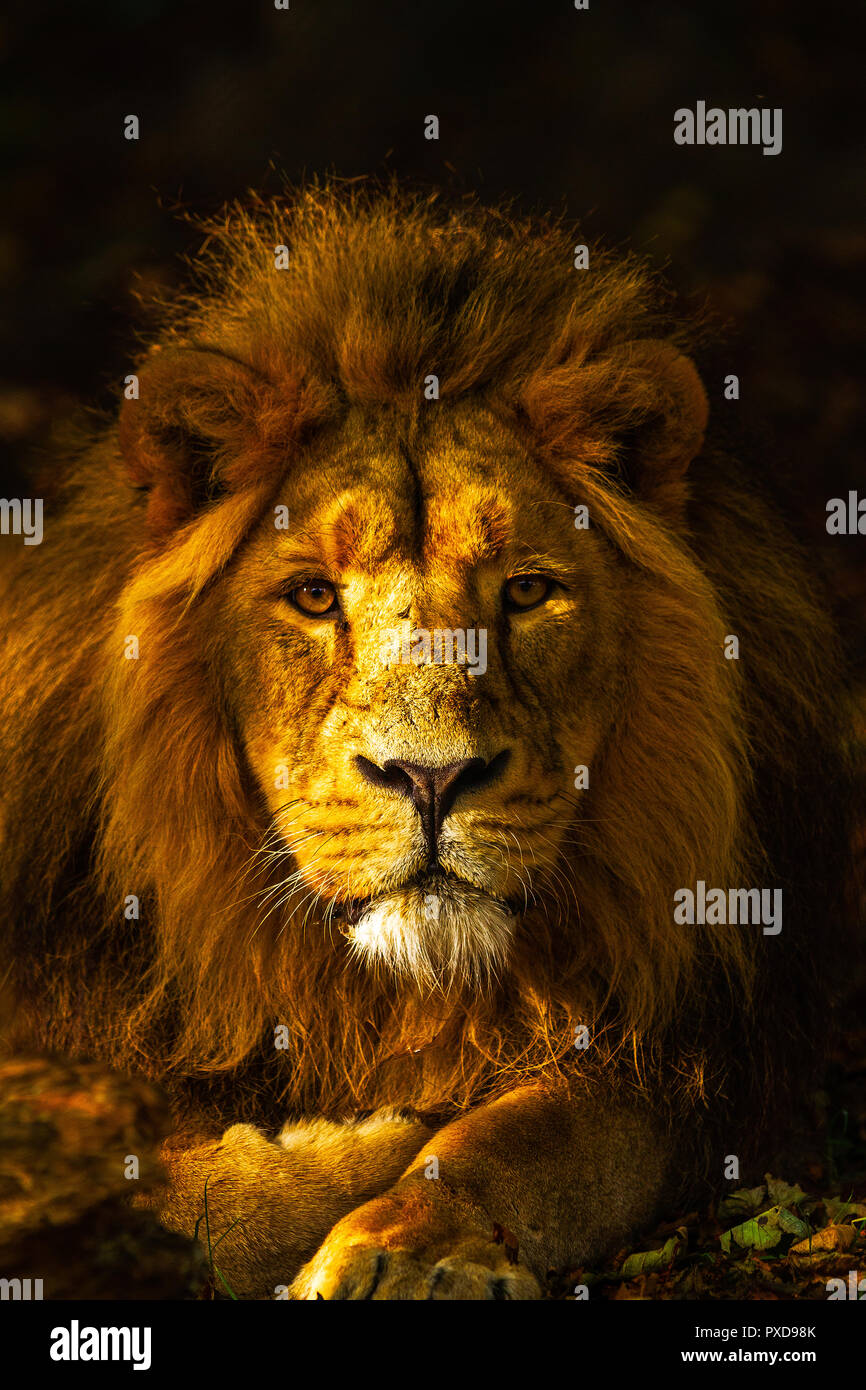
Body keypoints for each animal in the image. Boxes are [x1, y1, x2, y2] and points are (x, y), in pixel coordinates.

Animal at [0, 183, 857, 1300]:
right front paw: (364, 1142)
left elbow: (533, 1139)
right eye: (313, 596)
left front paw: (413, 1243)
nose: (432, 776)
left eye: (527, 590)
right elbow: (171, 1187)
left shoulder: (675, 1049)